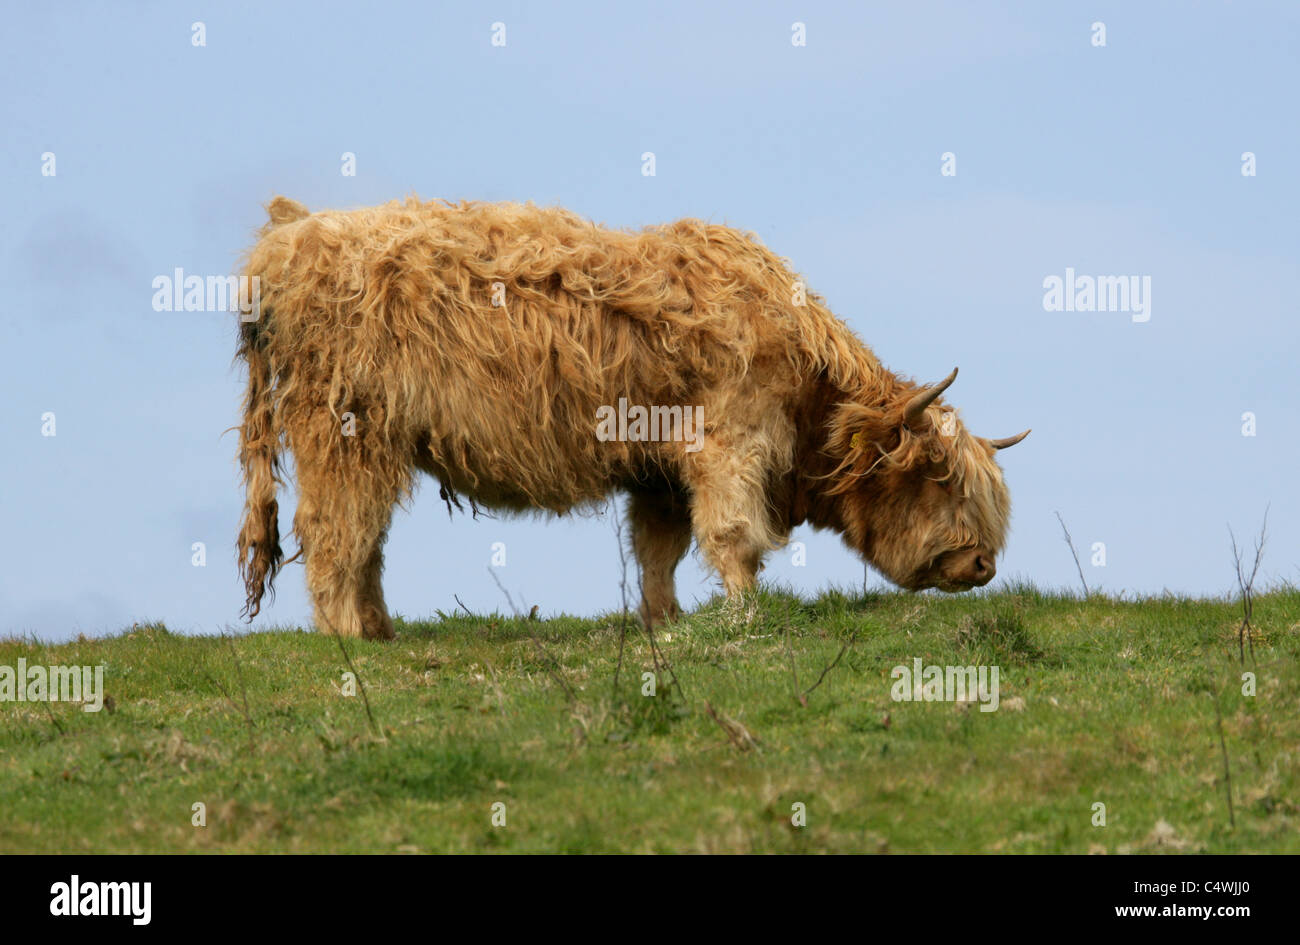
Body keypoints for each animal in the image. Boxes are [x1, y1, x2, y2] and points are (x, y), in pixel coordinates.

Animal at [236, 197, 1028, 639]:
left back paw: (379, 629)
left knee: (363, 538)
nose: (981, 564)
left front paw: (665, 622)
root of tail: (283, 242)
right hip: (344, 432)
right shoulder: (729, 443)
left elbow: (658, 552)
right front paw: (745, 616)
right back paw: (346, 636)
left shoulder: (659, 471)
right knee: (336, 531)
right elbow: (733, 536)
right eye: (938, 477)